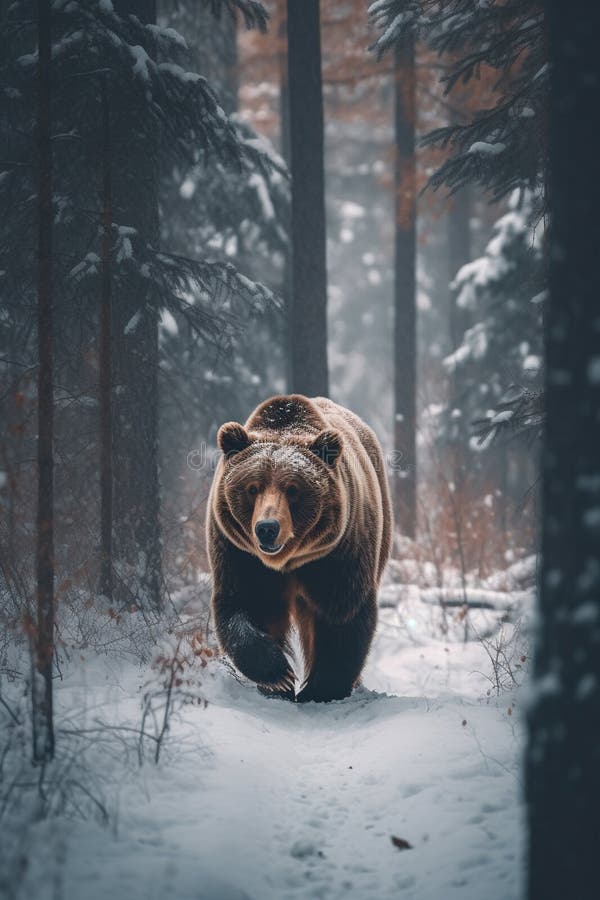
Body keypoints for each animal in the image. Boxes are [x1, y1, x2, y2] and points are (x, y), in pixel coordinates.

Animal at [206, 394, 392, 702]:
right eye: (252, 488)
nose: (267, 528)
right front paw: (279, 677)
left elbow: (342, 612)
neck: (288, 561)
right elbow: (248, 603)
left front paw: (321, 688)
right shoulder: (240, 553)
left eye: (293, 489)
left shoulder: (337, 553)